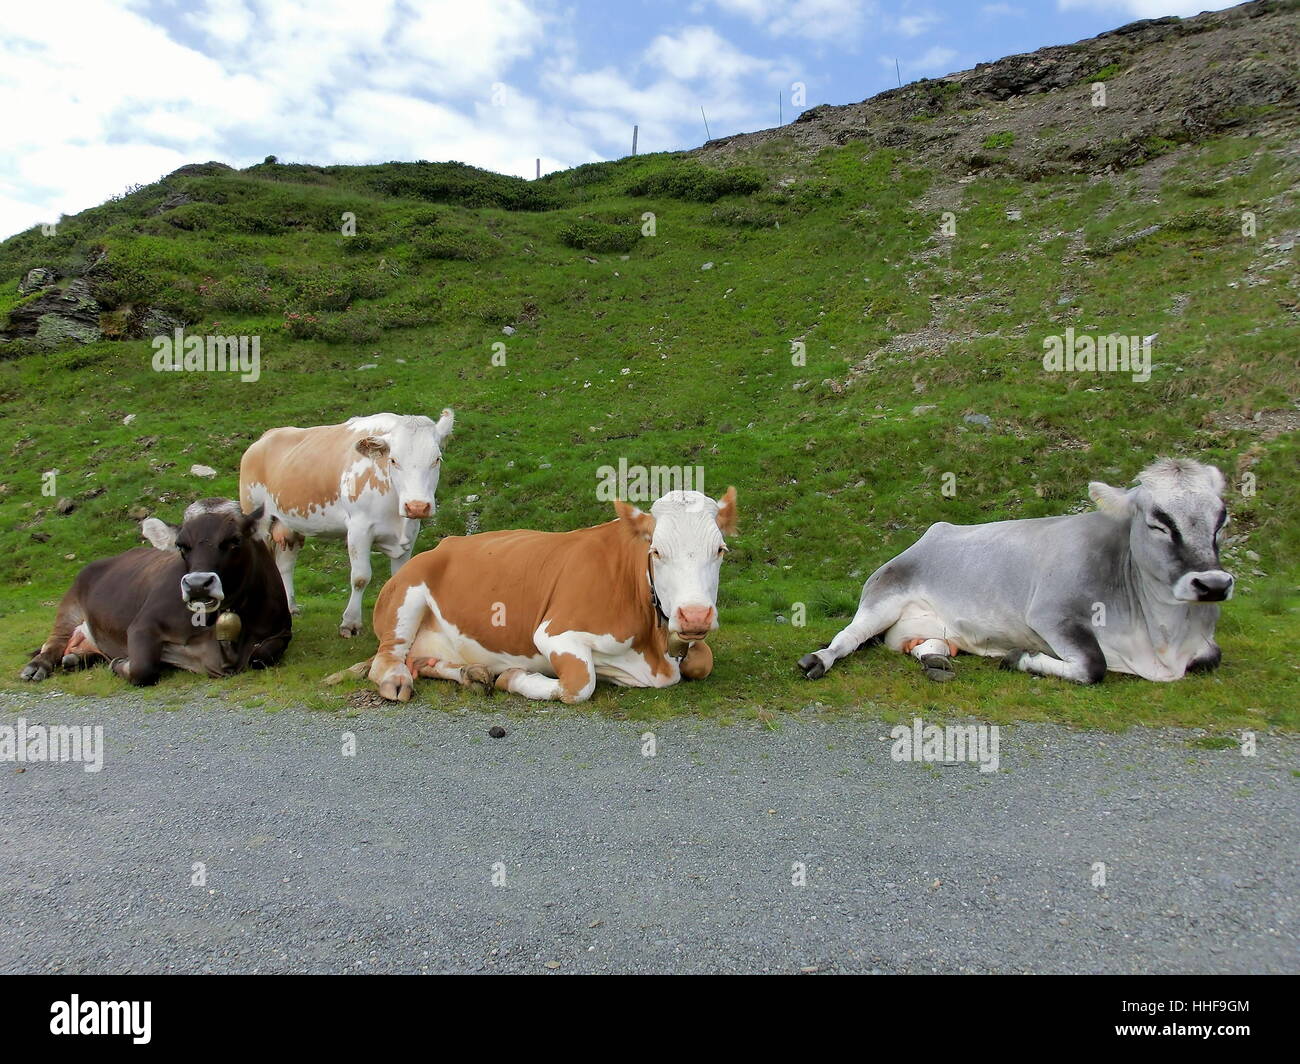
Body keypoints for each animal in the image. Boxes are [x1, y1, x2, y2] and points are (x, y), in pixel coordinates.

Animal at [20, 498, 291, 686]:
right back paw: (37, 667)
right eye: (181, 545)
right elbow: (143, 668)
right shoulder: (143, 625)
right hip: (69, 606)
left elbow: (260, 656)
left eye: (235, 540)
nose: (197, 584)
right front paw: (121, 663)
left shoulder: (282, 631)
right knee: (54, 643)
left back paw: (76, 659)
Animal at [239, 410, 455, 637]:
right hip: (257, 518)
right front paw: (350, 623)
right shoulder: (359, 529)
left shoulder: (411, 532)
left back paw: (290, 607)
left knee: (285, 565)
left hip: (290, 525)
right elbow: (360, 577)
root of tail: (266, 436)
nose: (417, 506)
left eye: (437, 459)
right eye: (394, 460)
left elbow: (400, 577)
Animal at [327, 488, 738, 703]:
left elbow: (701, 661)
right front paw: (513, 677)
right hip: (406, 598)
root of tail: (441, 545)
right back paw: (398, 681)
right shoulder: (554, 632)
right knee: (387, 660)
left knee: (424, 660)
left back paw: (472, 673)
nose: (695, 615)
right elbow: (580, 684)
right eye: (656, 551)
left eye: (720, 550)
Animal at [797, 458, 1233, 685]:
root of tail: (933, 532)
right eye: (1158, 522)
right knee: (848, 638)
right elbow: (1093, 667)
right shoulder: (1051, 614)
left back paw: (936, 661)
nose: (1212, 584)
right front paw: (1020, 657)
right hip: (883, 597)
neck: (1162, 640)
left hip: (935, 627)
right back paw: (818, 659)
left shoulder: (1202, 644)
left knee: (930, 643)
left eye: (1221, 518)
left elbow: (1213, 657)